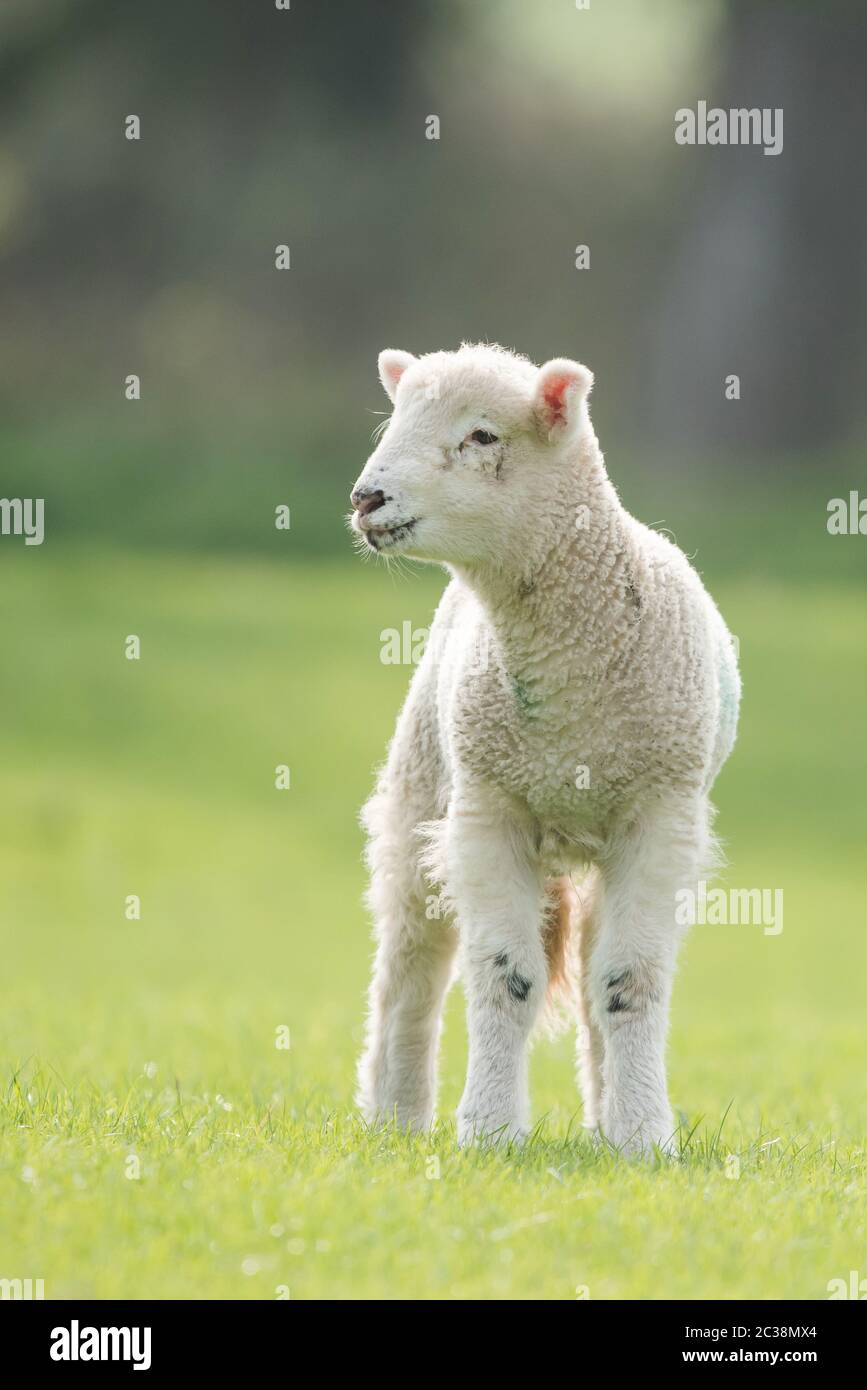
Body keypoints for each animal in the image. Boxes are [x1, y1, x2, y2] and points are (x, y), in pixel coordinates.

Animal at [349, 342, 740, 1154]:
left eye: (482, 436)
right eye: (395, 420)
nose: (366, 500)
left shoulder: (662, 813)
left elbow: (630, 981)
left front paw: (644, 1139)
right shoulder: (487, 809)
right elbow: (504, 978)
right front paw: (490, 1130)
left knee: (594, 976)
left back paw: (606, 1122)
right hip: (420, 787)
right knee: (408, 970)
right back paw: (395, 1118)